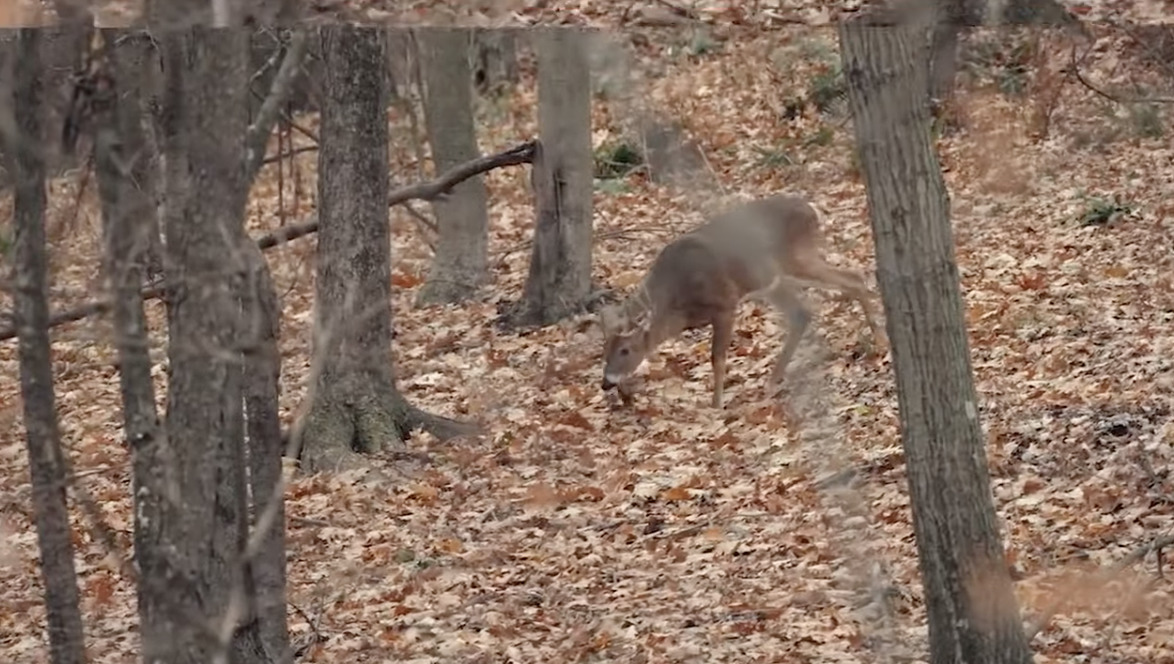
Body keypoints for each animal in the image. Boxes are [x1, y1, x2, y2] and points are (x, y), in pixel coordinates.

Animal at [599, 193, 887, 408]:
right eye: (605, 349)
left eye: (626, 350)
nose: (606, 383)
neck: (679, 302)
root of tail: (811, 210)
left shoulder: (725, 304)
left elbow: (717, 357)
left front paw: (716, 404)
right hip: (774, 281)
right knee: (802, 313)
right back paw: (772, 381)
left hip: (796, 258)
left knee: (853, 278)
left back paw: (881, 342)